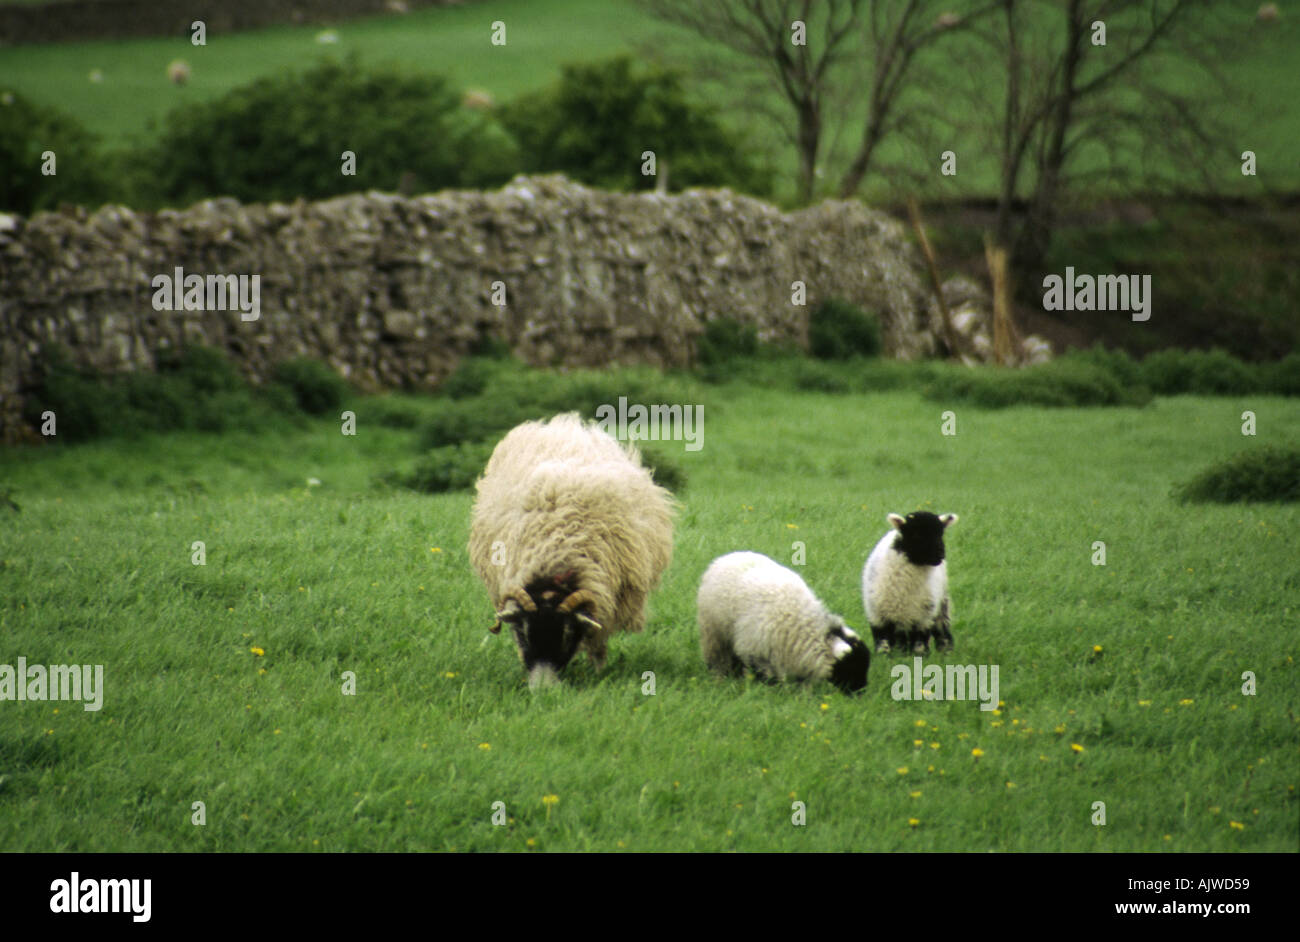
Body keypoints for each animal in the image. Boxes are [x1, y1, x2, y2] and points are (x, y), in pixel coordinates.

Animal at [468, 413, 675, 687]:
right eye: (525, 633)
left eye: (566, 634)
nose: (542, 689)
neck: (555, 554)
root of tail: (563, 425)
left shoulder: (607, 602)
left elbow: (598, 643)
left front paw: (598, 672)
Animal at [697, 552, 869, 693]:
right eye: (851, 667)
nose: (861, 693)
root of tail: (729, 556)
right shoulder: (754, 650)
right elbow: (764, 675)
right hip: (714, 633)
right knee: (719, 658)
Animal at [862, 511, 958, 655]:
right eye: (916, 534)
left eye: (941, 533)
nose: (940, 555)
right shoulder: (878, 616)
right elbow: (882, 641)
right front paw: (884, 656)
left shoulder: (923, 618)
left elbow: (919, 642)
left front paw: (920, 656)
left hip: (941, 602)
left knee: (942, 629)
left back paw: (946, 651)